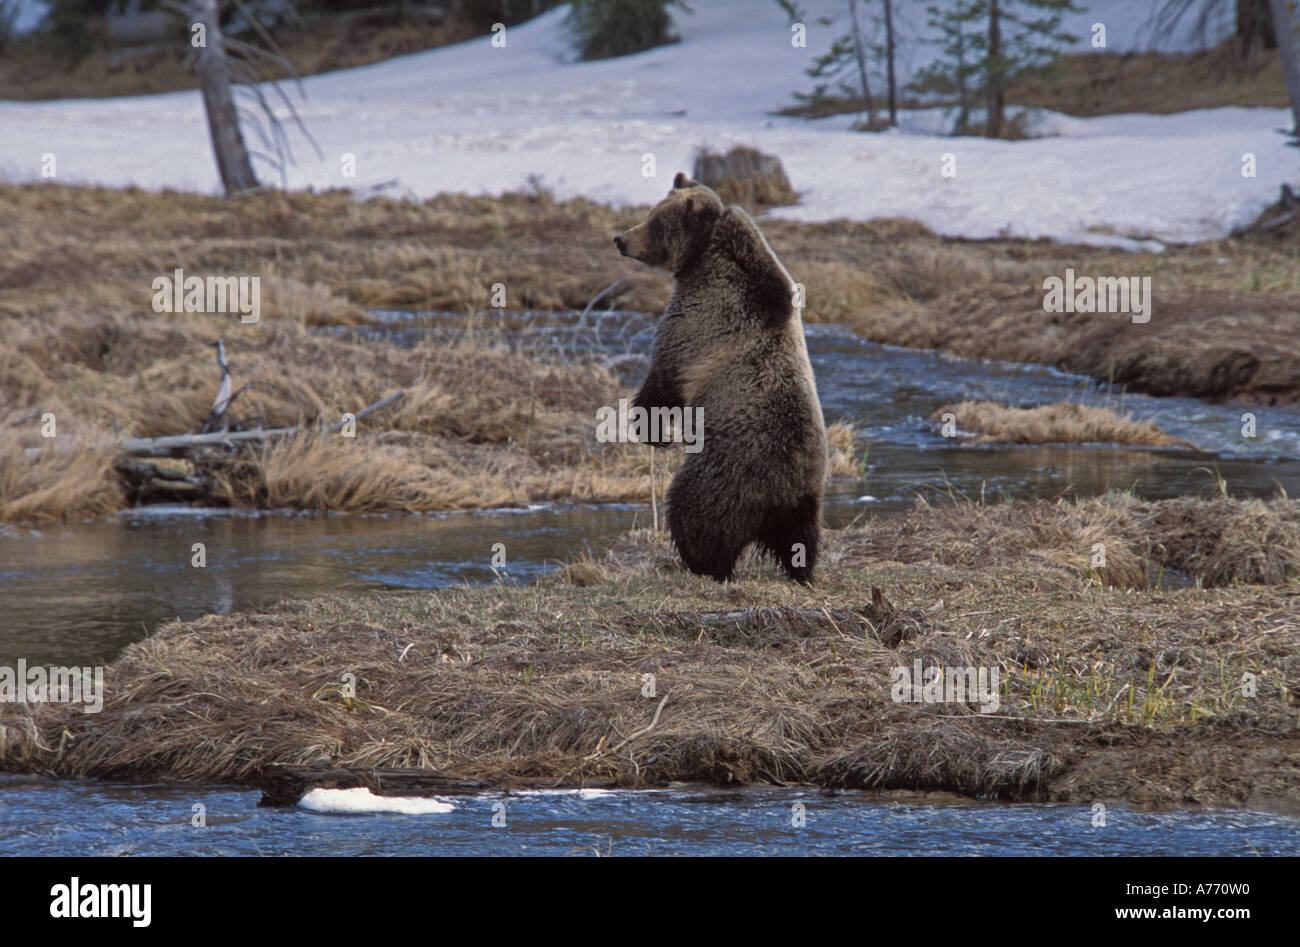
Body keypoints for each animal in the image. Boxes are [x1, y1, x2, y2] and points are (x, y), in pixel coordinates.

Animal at [613, 172, 827, 583]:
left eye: (656, 220)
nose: (621, 239)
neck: (702, 258)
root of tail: (780, 494)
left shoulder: (697, 327)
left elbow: (662, 384)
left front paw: (654, 432)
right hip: (807, 497)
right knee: (801, 538)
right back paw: (802, 571)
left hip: (725, 476)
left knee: (696, 515)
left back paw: (702, 565)